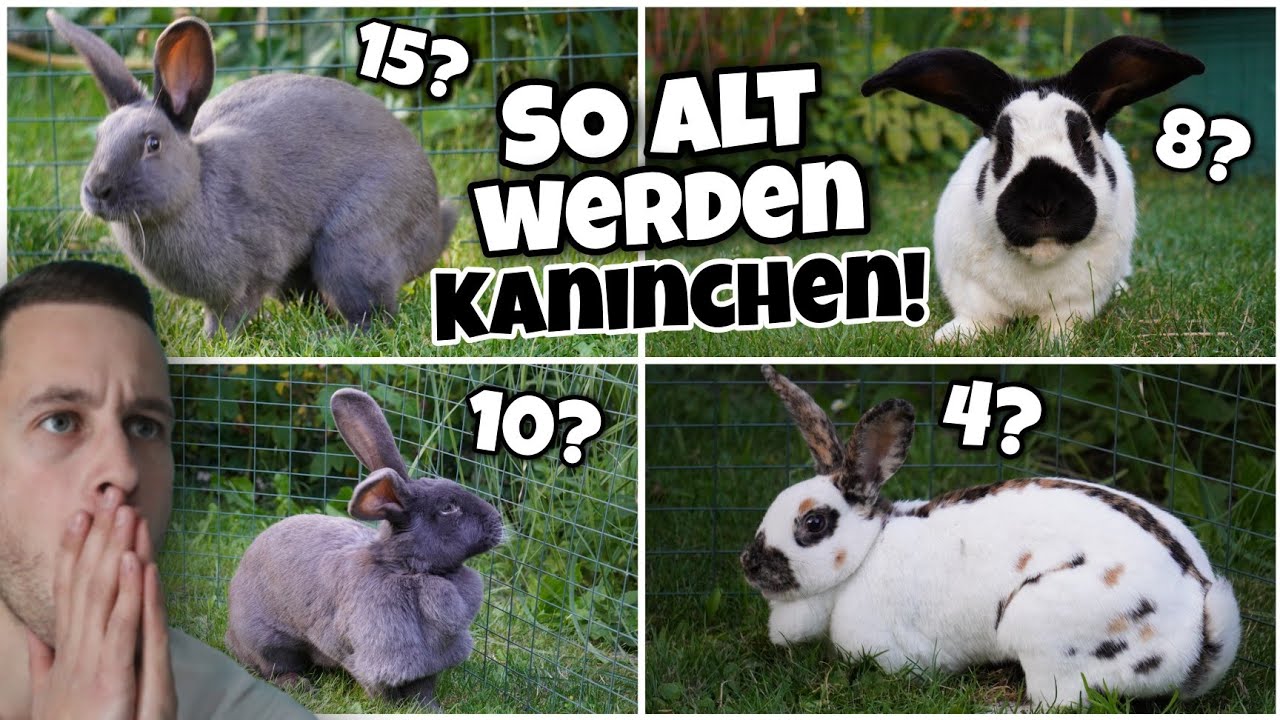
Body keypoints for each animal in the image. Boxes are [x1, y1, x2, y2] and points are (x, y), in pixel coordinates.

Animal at [47, 11, 458, 336]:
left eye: (152, 143)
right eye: (100, 137)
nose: (97, 190)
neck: (196, 190)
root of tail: (433, 229)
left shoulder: (254, 272)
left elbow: (232, 313)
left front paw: (217, 341)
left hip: (352, 249)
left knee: (372, 314)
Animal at [225, 388, 503, 708]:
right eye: (448, 508)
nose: (498, 521)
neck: (406, 570)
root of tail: (231, 636)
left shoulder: (430, 663)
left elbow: (424, 687)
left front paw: (430, 708)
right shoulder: (377, 657)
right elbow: (380, 689)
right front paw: (392, 708)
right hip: (269, 642)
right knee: (275, 668)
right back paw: (300, 685)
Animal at [740, 366, 1241, 708]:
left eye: (813, 524)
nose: (749, 563)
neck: (865, 556)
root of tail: (1198, 625)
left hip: (1045, 633)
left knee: (1058, 702)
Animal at [860, 37, 1204, 343]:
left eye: (1083, 141)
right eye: (1003, 147)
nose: (1044, 201)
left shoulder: (1078, 300)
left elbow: (1060, 324)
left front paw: (1049, 343)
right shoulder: (971, 289)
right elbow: (979, 318)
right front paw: (949, 339)